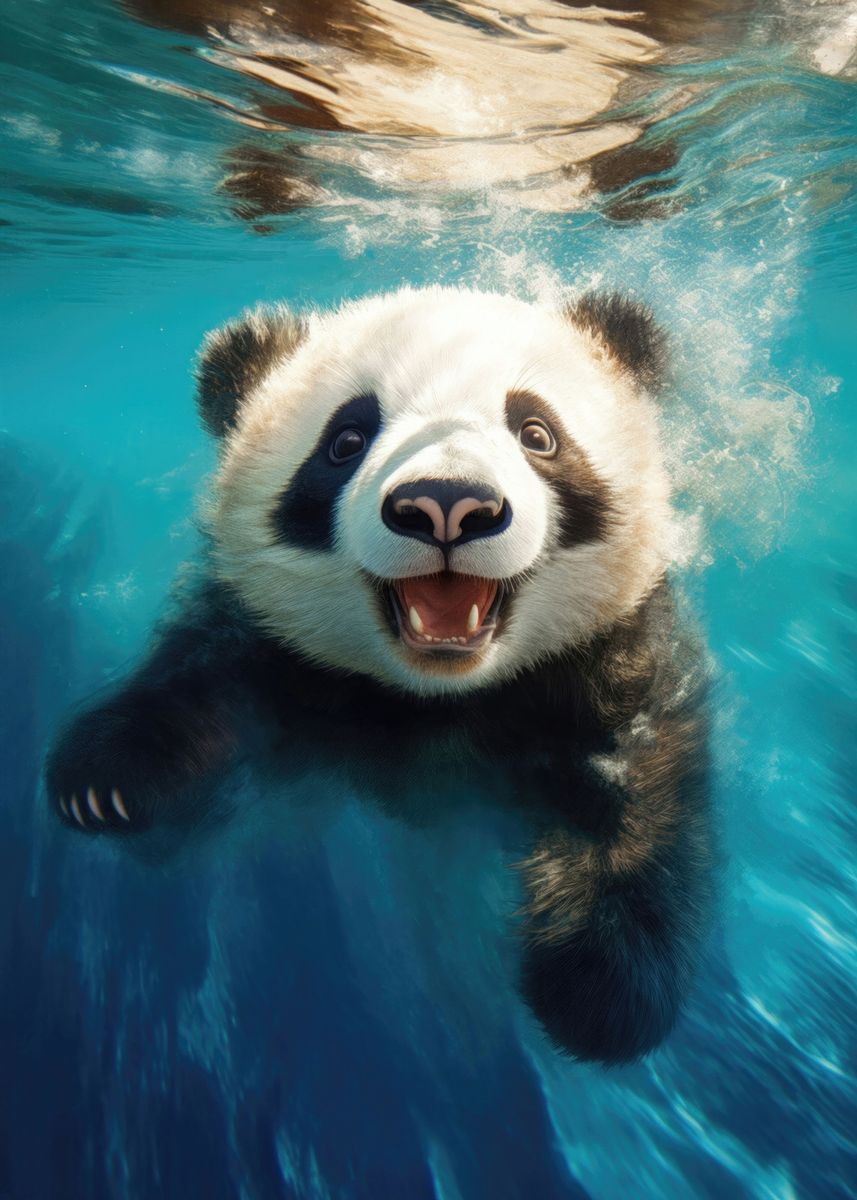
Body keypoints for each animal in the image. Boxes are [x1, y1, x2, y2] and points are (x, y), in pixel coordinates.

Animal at [46, 286, 712, 1065]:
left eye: (537, 433)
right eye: (346, 441)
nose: (447, 504)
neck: (439, 697)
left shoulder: (613, 659)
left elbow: (638, 789)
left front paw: (603, 987)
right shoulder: (270, 644)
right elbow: (200, 685)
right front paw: (105, 780)